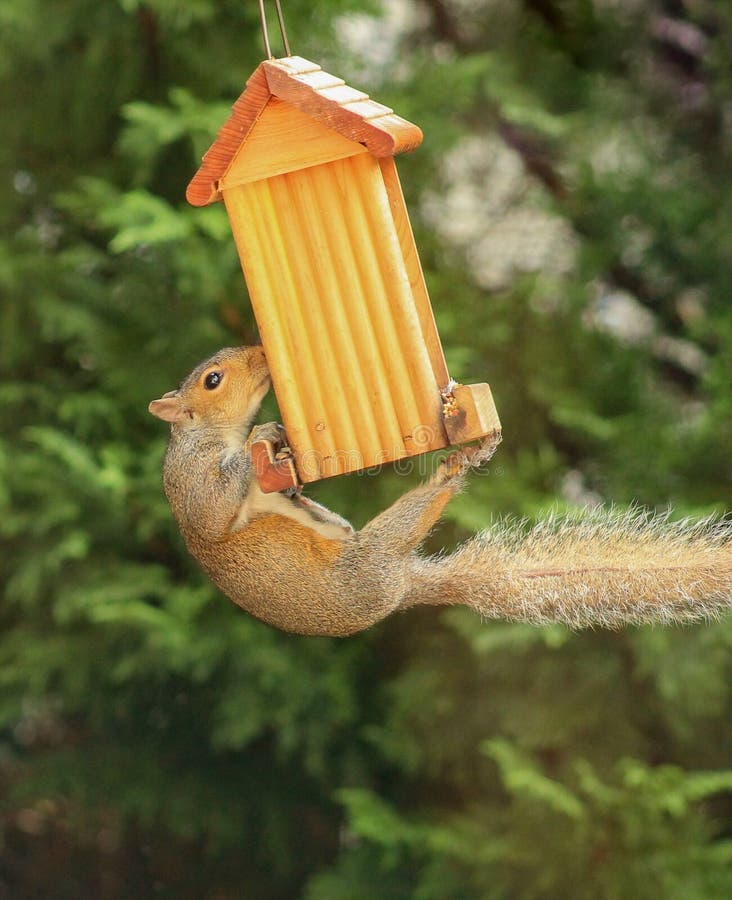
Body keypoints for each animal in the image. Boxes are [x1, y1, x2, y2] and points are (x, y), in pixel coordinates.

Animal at [149, 346, 732, 637]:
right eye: (214, 380)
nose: (261, 351)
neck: (208, 436)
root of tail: (405, 587)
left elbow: (294, 498)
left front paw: (277, 449)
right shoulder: (195, 485)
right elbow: (219, 508)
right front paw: (259, 441)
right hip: (371, 558)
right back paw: (456, 466)